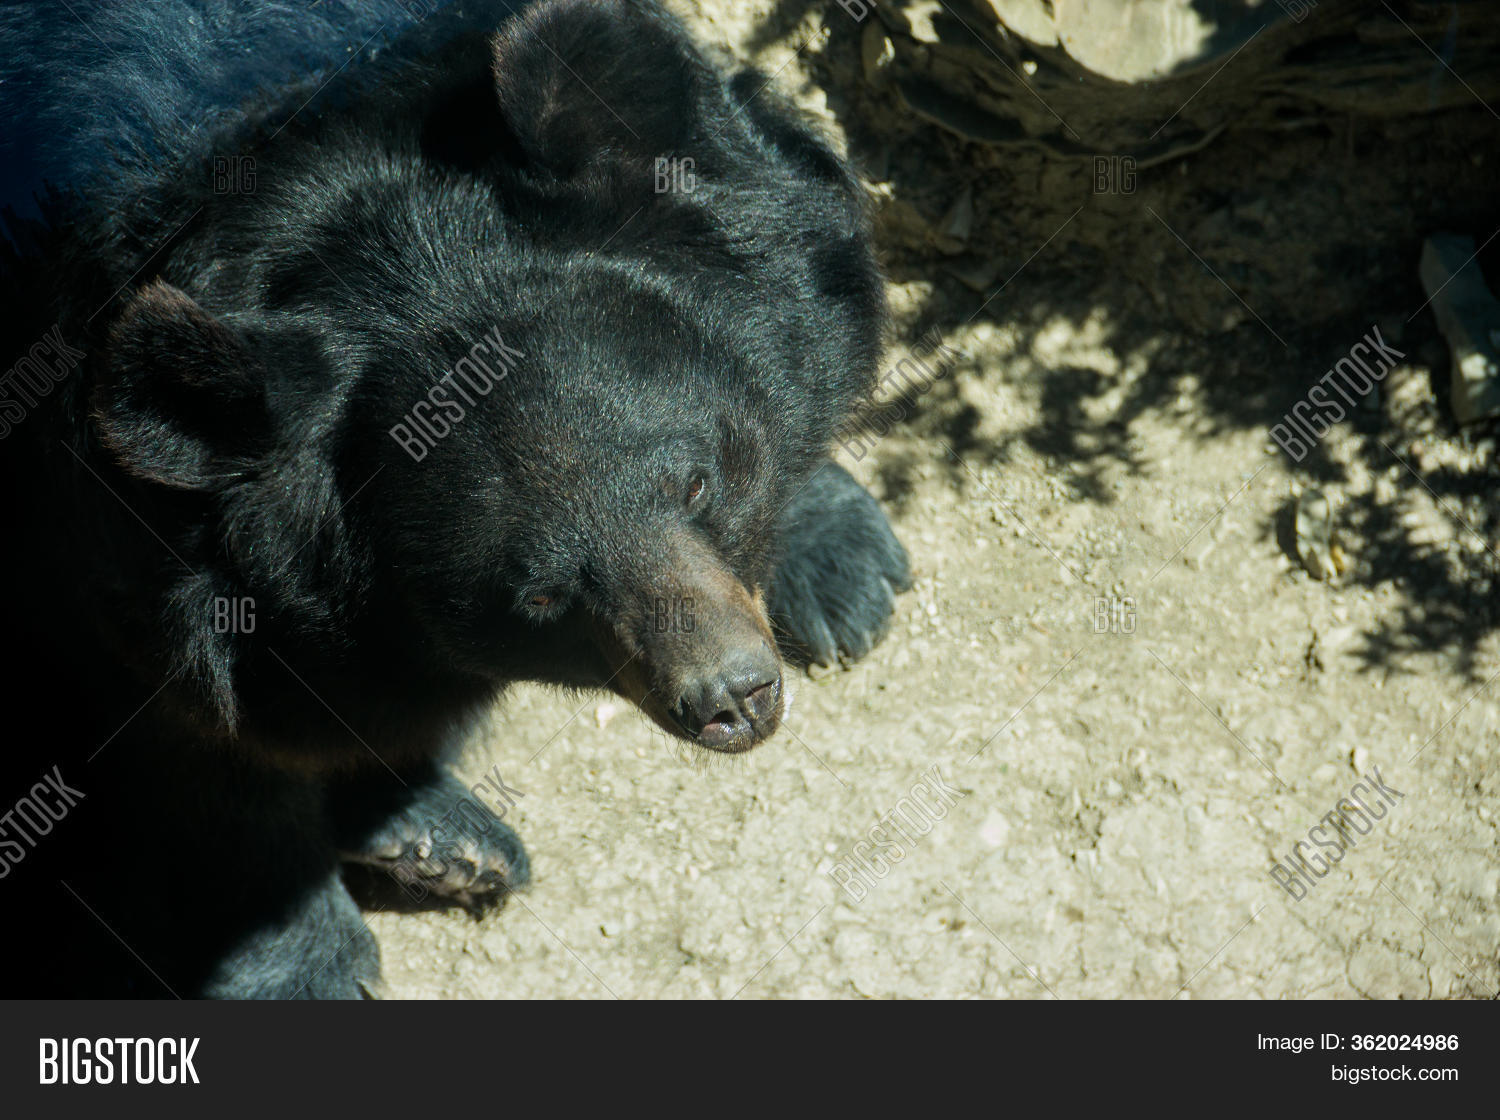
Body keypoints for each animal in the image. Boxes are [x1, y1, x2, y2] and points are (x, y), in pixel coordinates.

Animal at [0, 0, 909, 997]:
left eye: (699, 482)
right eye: (542, 596)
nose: (731, 700)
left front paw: (839, 561)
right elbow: (195, 721)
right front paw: (302, 964)